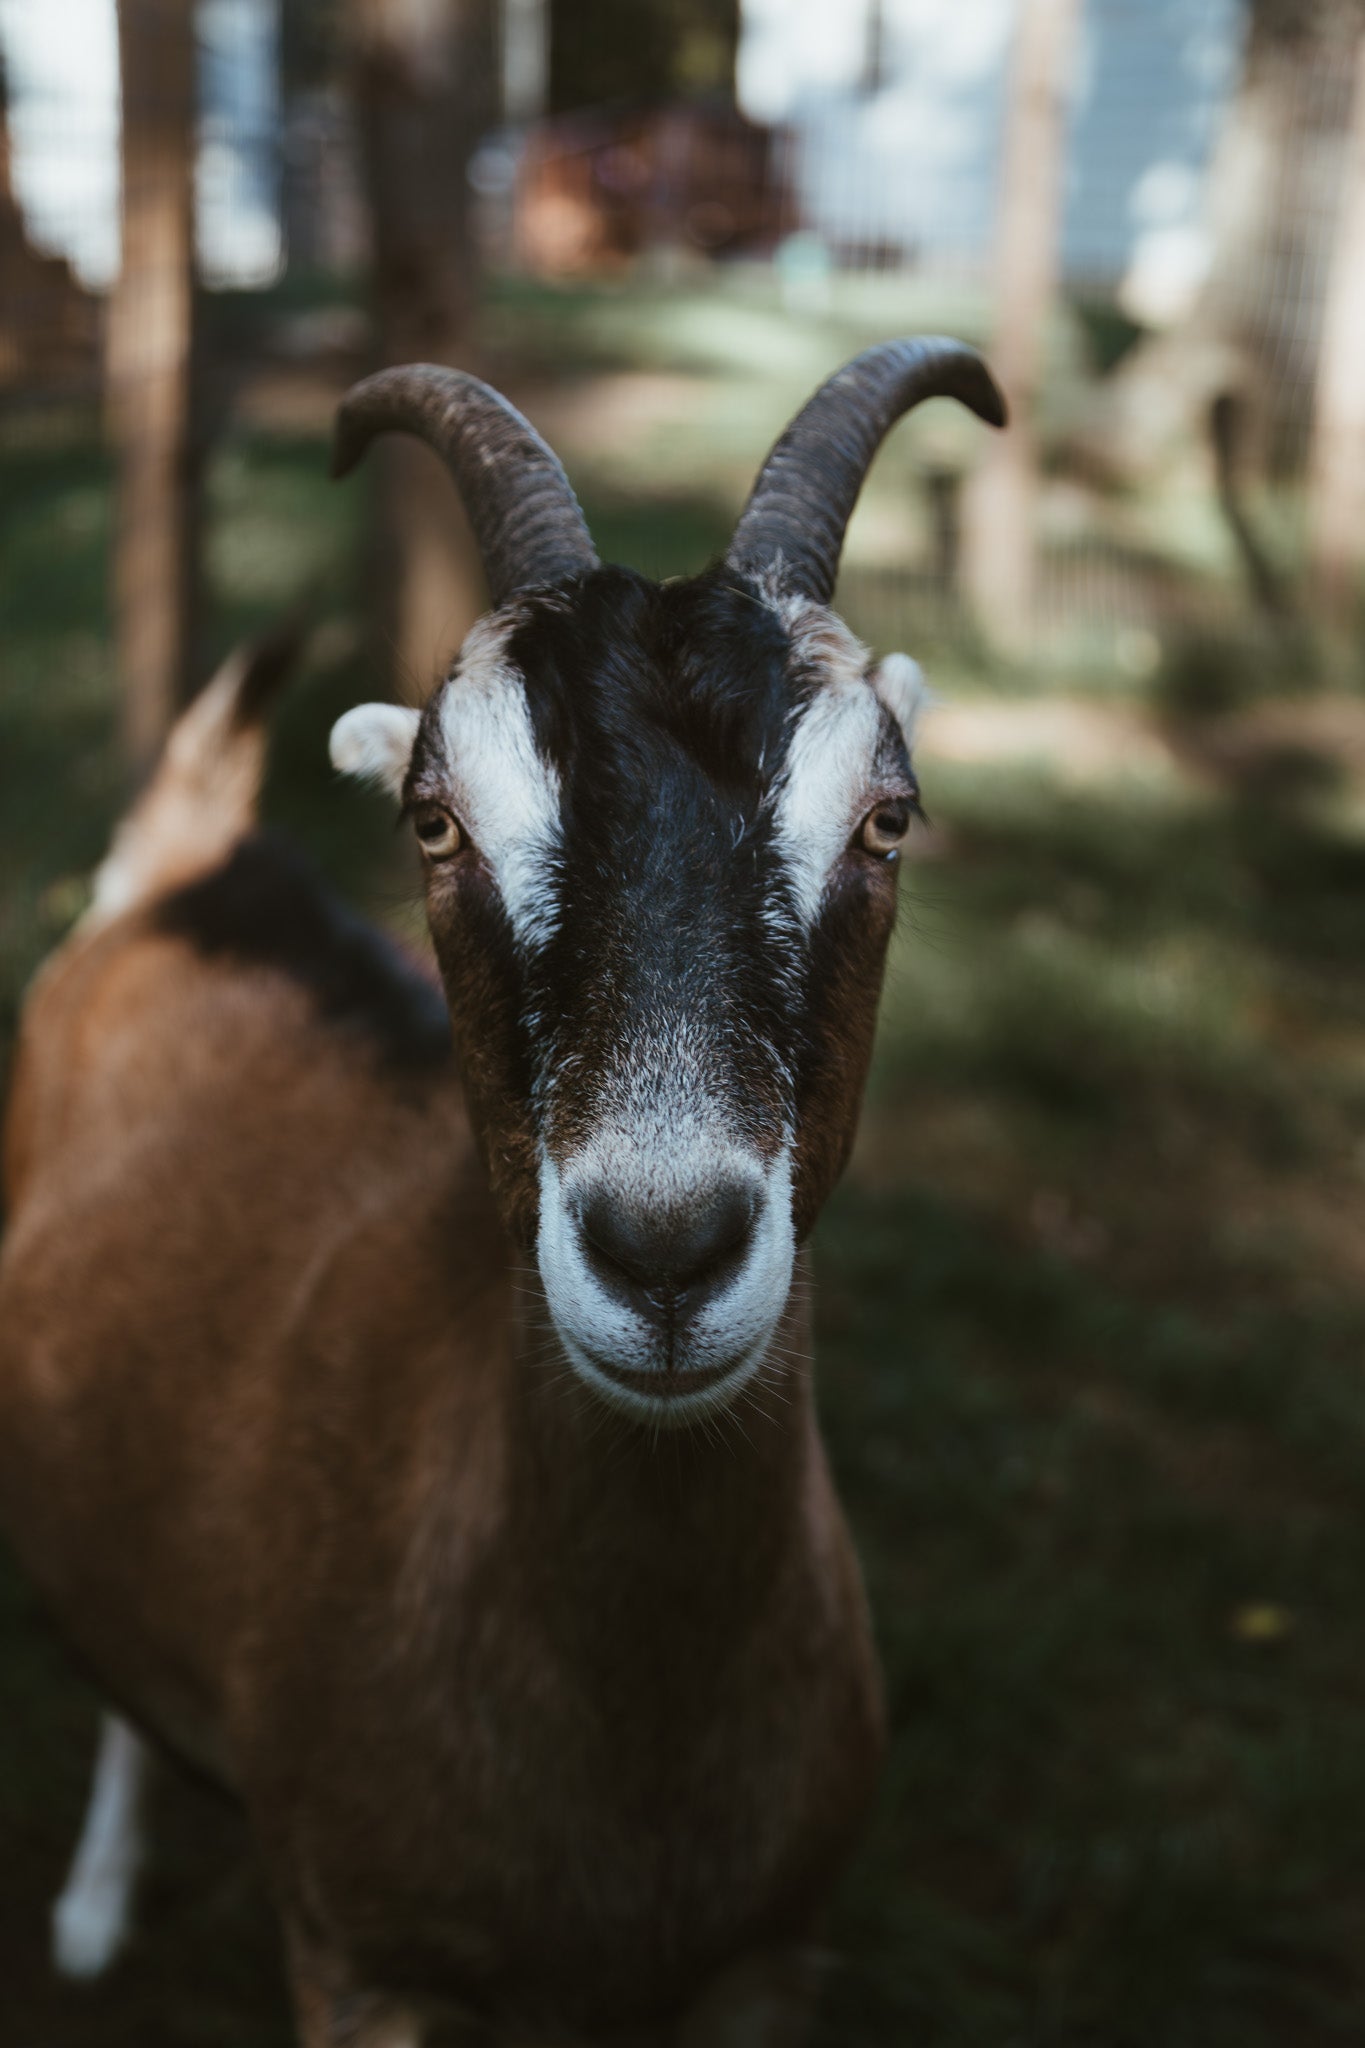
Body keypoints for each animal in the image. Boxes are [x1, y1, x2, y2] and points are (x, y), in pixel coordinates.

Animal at [0, 338, 1004, 2044]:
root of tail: (198, 860)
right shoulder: (361, 1962)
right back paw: (83, 1912)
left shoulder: (766, 1962)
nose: (663, 1251)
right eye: (434, 817)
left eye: (887, 818)